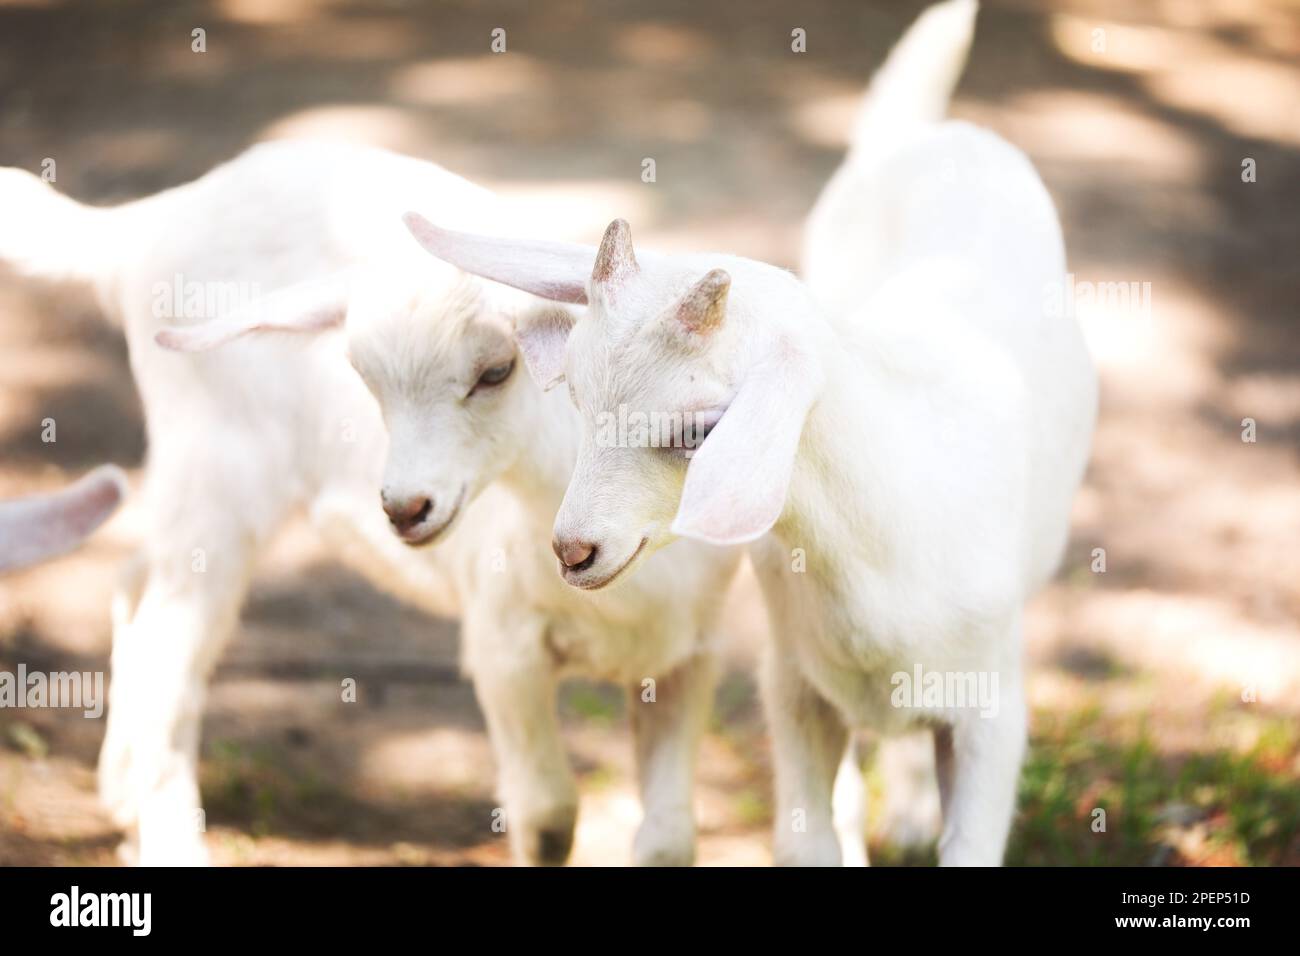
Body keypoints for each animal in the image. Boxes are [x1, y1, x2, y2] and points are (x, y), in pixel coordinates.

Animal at [398, 0, 1097, 865]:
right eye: (578, 397)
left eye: (700, 428)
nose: (573, 550)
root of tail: (933, 135)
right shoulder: (792, 682)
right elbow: (806, 843)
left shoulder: (994, 711)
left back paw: (905, 816)